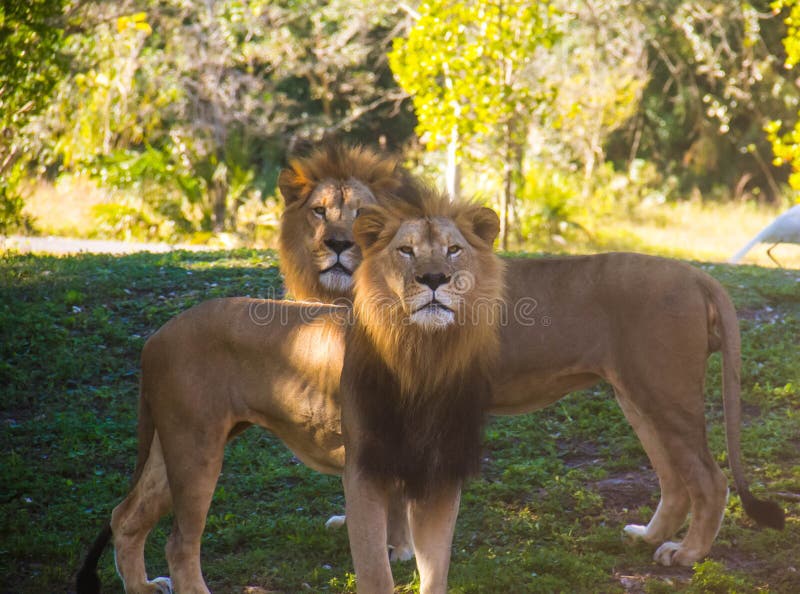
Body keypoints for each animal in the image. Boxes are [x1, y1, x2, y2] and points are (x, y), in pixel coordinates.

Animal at [341, 193, 503, 593]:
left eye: (454, 249)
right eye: (406, 250)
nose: (434, 278)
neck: (421, 360)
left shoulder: (441, 469)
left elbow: (435, 567)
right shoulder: (364, 466)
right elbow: (373, 571)